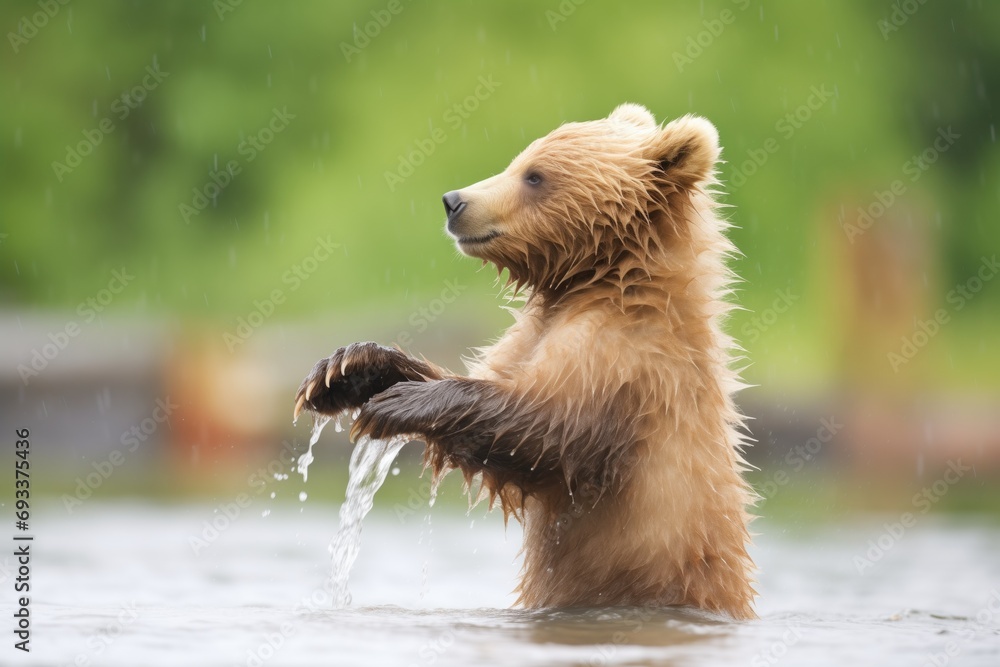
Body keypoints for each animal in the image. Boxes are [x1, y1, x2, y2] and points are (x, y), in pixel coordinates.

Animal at [294, 103, 757, 619]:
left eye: (535, 176)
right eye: (520, 161)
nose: (454, 201)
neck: (604, 278)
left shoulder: (628, 362)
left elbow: (548, 427)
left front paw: (398, 405)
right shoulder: (530, 337)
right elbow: (494, 387)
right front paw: (348, 372)